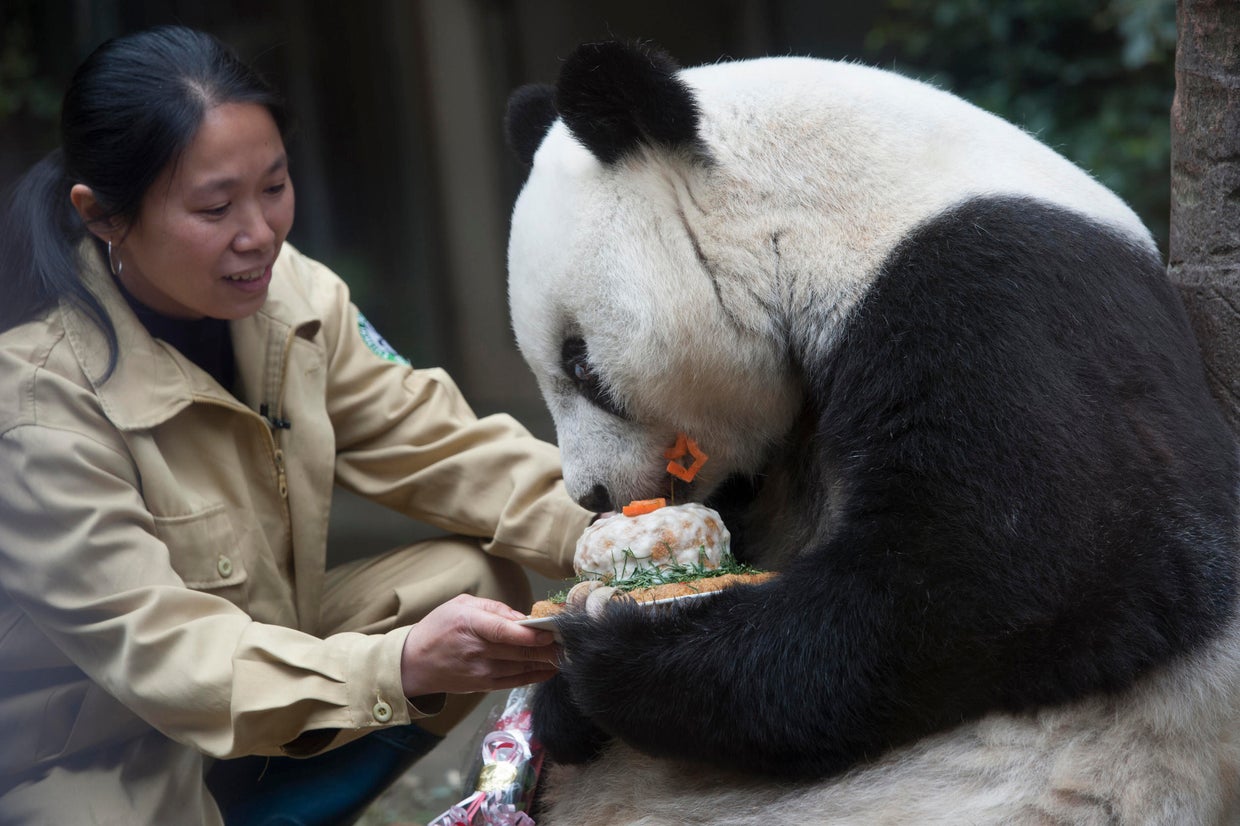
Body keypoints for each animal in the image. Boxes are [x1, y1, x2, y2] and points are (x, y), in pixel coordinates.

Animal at [504, 41, 1240, 824]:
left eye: (579, 363)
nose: (591, 494)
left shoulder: (1000, 294)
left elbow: (1040, 561)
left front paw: (616, 657)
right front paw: (561, 699)